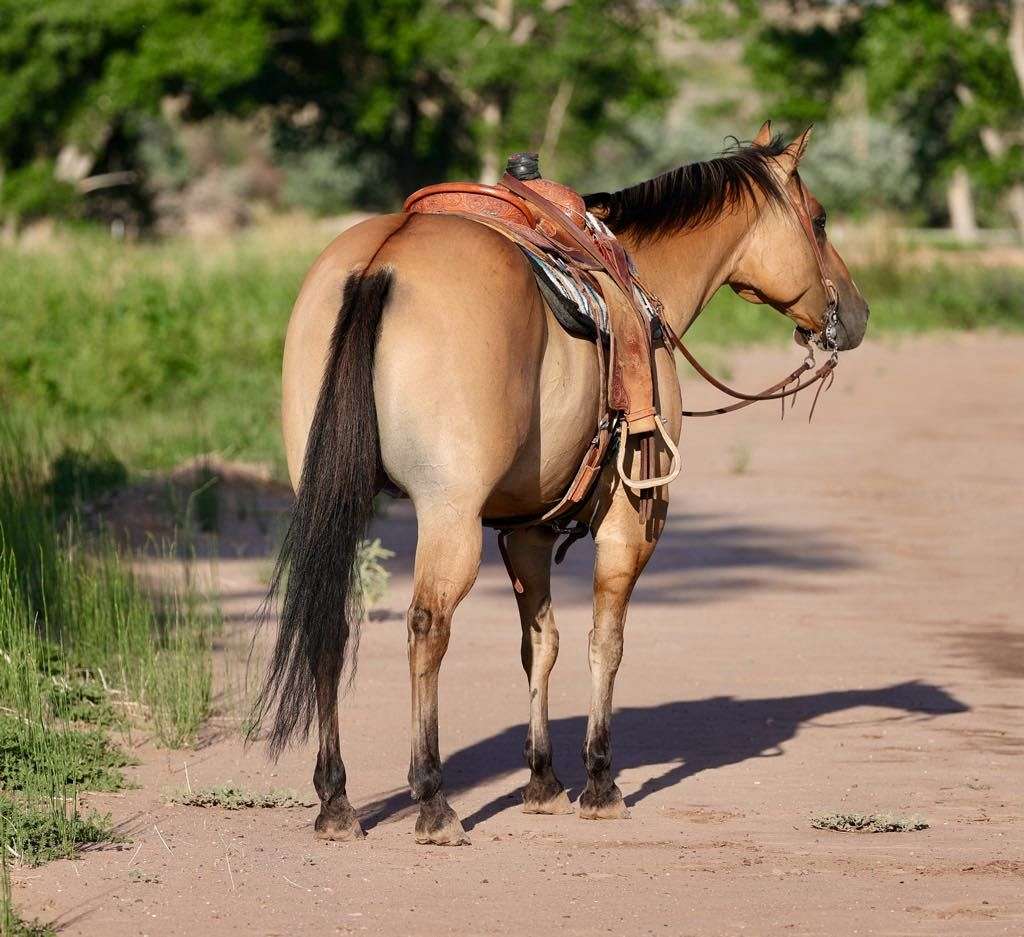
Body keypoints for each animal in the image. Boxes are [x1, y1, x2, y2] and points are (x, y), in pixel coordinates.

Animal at [250, 122, 870, 846]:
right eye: (819, 220)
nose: (855, 313)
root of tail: (384, 259)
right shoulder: (632, 520)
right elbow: (605, 641)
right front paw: (599, 782)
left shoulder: (528, 529)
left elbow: (539, 643)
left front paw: (543, 781)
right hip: (448, 514)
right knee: (427, 625)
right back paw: (433, 801)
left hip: (332, 500)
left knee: (330, 621)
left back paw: (336, 801)